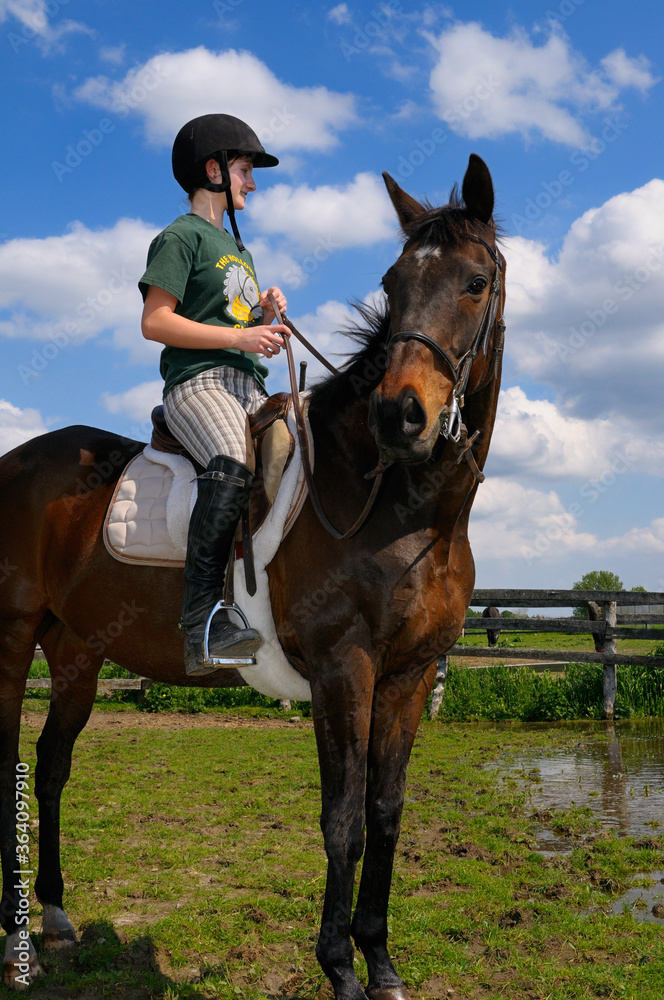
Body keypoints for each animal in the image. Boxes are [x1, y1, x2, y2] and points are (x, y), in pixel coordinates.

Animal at [0, 153, 505, 999]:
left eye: (474, 281)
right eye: (393, 282)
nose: (400, 416)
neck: (403, 506)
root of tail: (16, 461)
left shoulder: (409, 672)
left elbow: (386, 812)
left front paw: (382, 961)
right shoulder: (343, 668)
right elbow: (342, 820)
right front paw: (339, 968)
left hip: (75, 651)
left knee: (51, 765)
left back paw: (58, 918)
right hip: (12, 639)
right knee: (9, 755)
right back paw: (14, 936)